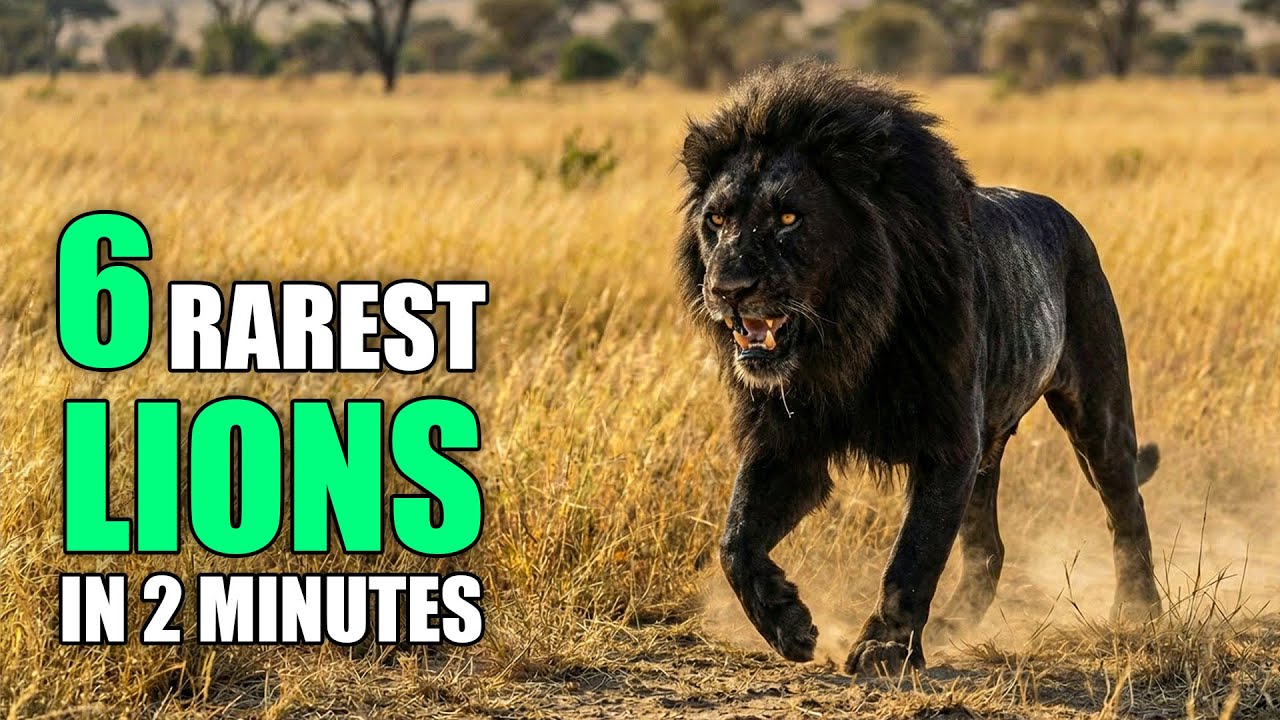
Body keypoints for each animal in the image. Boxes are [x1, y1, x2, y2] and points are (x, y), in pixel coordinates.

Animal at [676, 62, 1162, 675]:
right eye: (716, 220)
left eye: (788, 217)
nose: (728, 289)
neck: (846, 338)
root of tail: (1063, 214)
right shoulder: (787, 441)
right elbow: (734, 539)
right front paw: (788, 625)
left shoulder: (947, 442)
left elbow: (914, 552)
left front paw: (883, 649)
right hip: (988, 445)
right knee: (988, 549)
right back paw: (956, 625)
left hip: (1097, 410)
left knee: (1125, 504)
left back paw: (1138, 613)